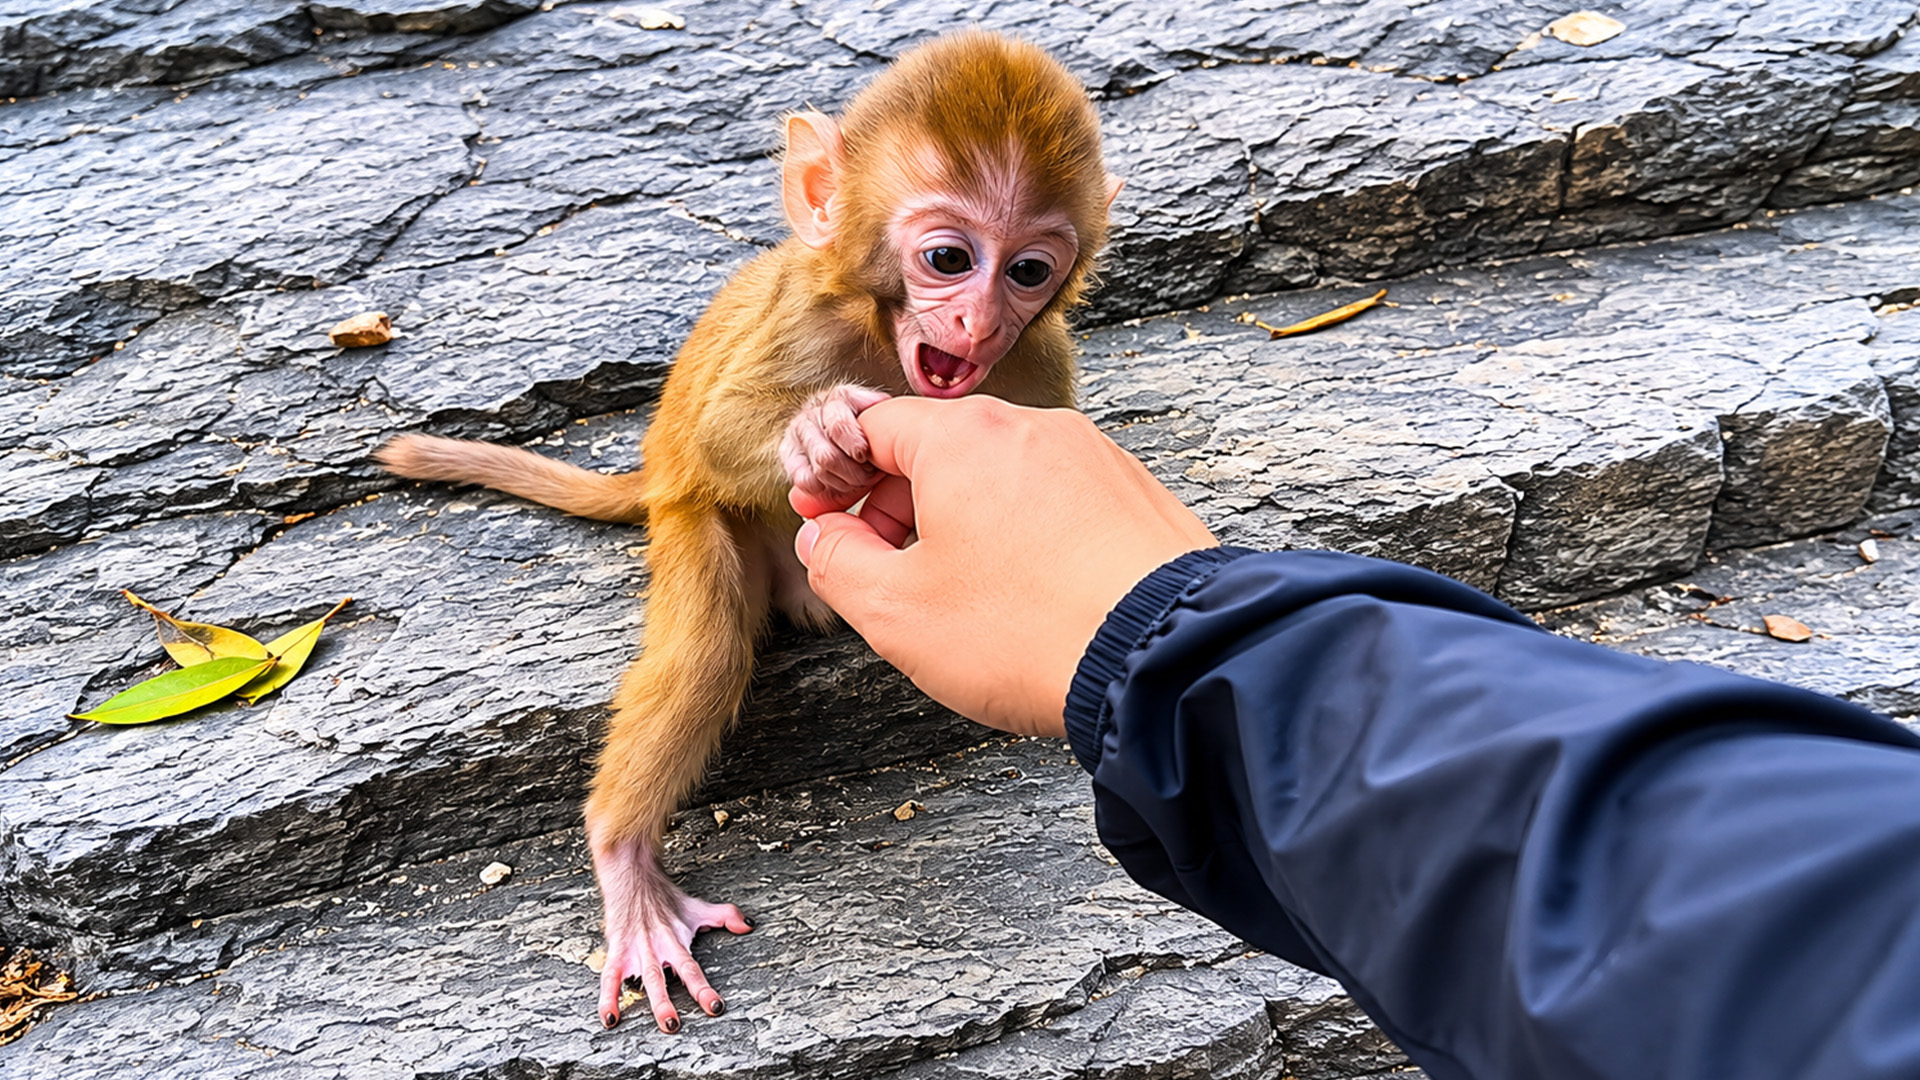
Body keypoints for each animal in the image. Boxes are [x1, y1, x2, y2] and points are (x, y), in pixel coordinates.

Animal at [377, 30, 1121, 1034]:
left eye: (1028, 272)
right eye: (948, 258)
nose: (975, 321)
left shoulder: (1038, 366)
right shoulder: (806, 321)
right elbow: (727, 429)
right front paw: (816, 434)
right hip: (688, 514)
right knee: (706, 643)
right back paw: (625, 864)